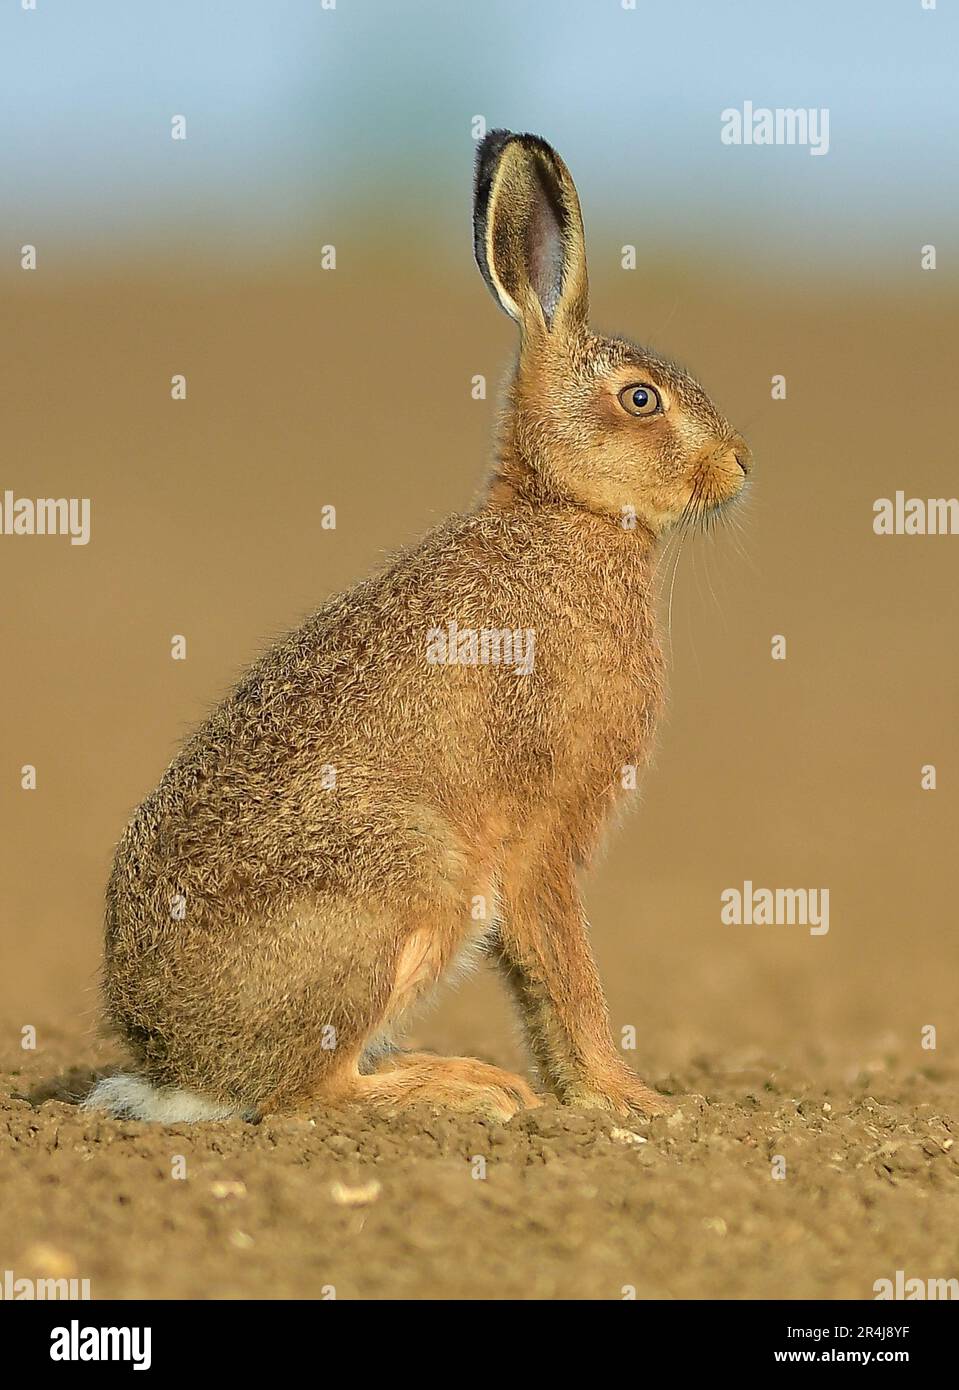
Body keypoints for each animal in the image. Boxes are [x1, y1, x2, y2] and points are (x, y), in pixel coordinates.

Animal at [87, 130, 750, 1125]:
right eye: (641, 400)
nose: (740, 464)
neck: (565, 513)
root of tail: (176, 1067)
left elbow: (534, 983)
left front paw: (592, 1099)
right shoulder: (541, 828)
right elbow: (566, 968)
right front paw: (634, 1102)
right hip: (417, 875)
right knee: (309, 1094)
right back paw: (469, 1090)